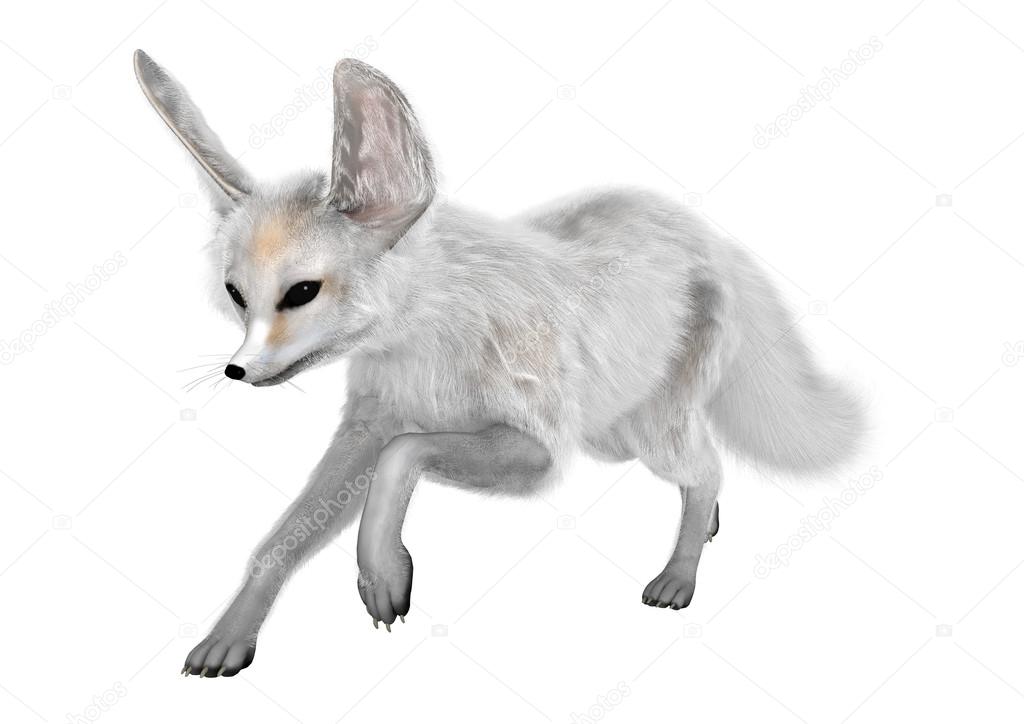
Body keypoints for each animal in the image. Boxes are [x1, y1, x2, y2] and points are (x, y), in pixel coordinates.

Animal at [133, 50, 865, 678]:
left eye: (302, 292)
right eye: (237, 295)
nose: (237, 372)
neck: (428, 339)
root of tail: (703, 232)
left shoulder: (536, 450)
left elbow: (403, 456)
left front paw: (382, 572)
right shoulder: (369, 426)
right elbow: (280, 541)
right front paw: (232, 636)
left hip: (642, 433)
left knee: (708, 467)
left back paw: (681, 573)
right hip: (615, 431)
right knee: (704, 465)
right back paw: (706, 528)